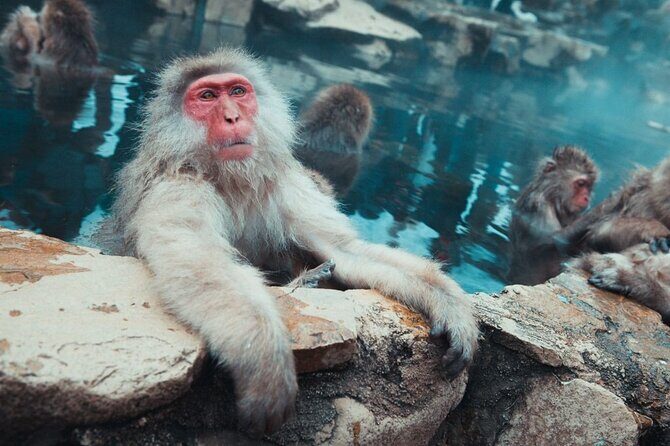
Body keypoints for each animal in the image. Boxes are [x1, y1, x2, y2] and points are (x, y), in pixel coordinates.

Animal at [107, 48, 478, 436]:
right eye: (206, 96)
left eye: (237, 91)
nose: (232, 116)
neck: (231, 181)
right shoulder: (177, 188)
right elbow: (199, 262)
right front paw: (263, 357)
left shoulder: (285, 186)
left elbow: (345, 250)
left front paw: (447, 303)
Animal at [508, 145, 599, 285]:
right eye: (581, 183)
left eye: (589, 187)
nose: (586, 198)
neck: (552, 196)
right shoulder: (539, 205)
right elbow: (553, 239)